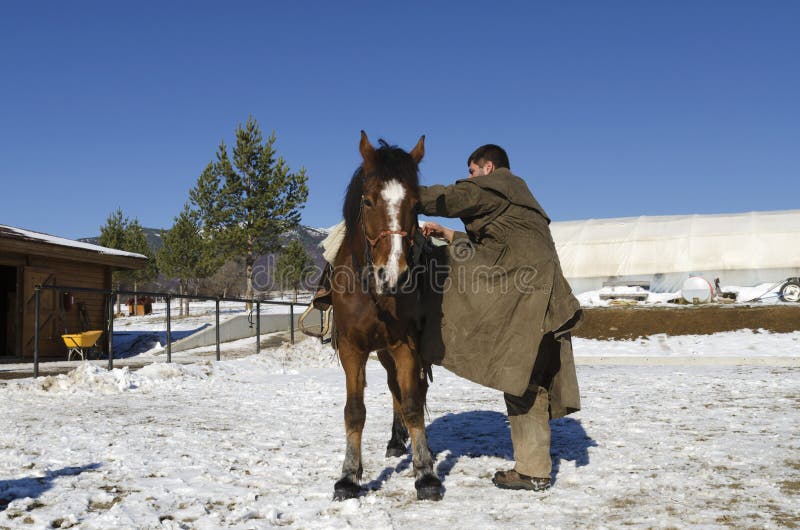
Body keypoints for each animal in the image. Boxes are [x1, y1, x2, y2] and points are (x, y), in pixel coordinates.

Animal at [329, 131, 442, 501]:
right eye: (367, 201)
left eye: (417, 205)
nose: (393, 274)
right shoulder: (352, 348)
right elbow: (354, 412)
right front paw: (348, 477)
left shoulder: (406, 345)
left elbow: (413, 404)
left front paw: (425, 474)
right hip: (381, 353)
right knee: (394, 387)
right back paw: (395, 440)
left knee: (412, 391)